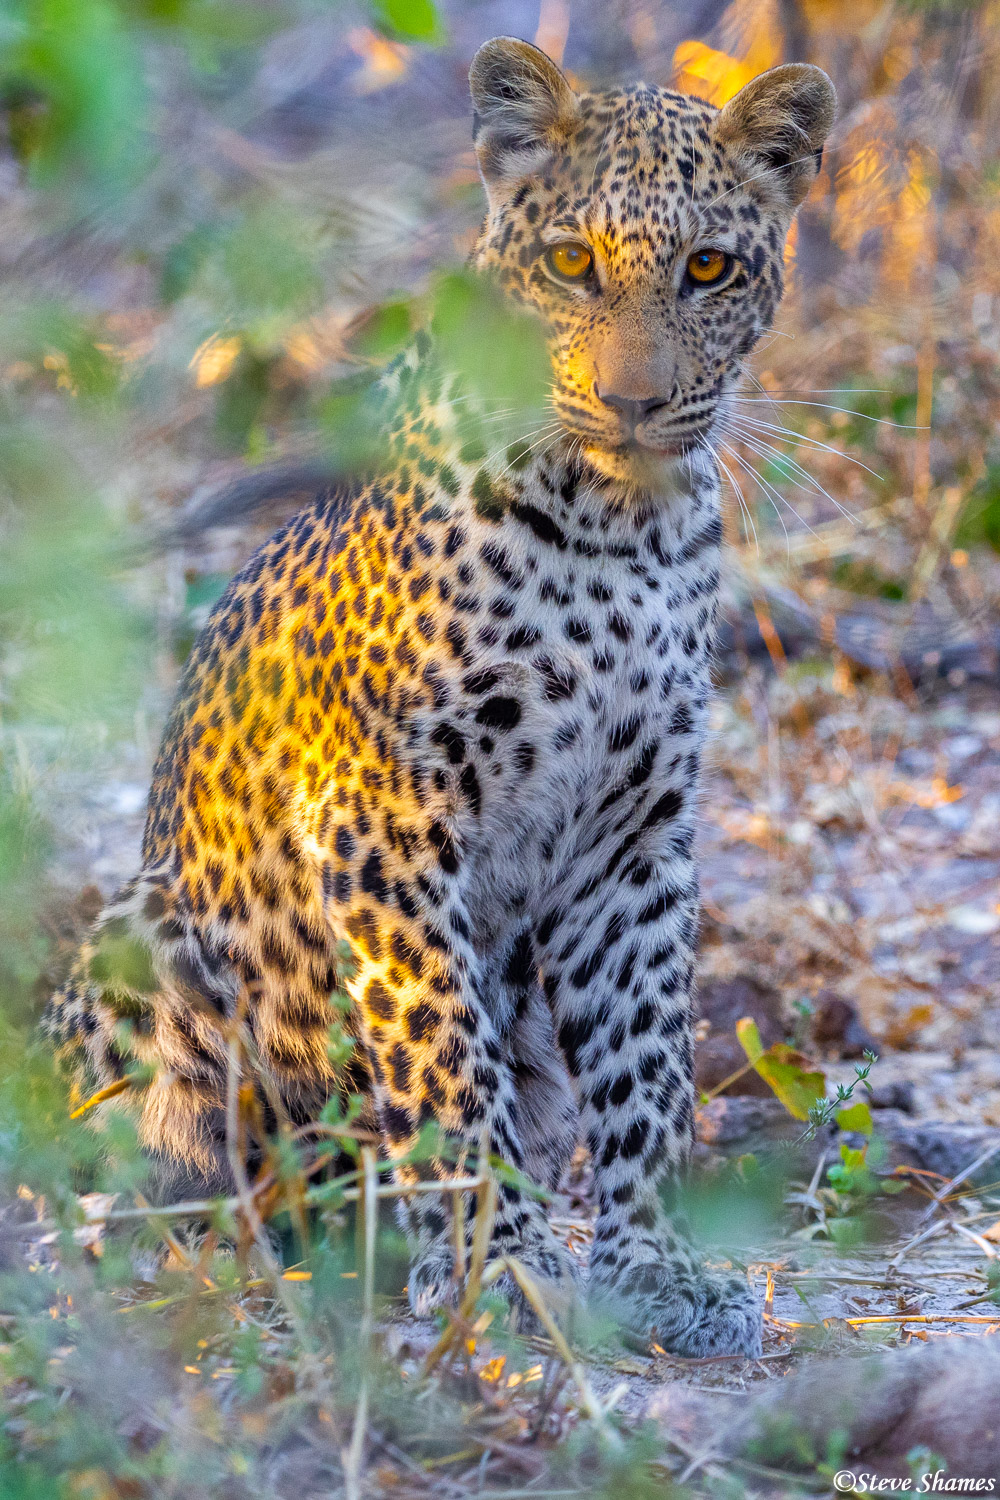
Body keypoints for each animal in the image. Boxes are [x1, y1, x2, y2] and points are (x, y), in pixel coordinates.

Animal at [44, 37, 835, 1358]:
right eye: (570, 262)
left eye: (708, 269)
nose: (632, 402)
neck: (617, 528)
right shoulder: (385, 819)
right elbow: (443, 1054)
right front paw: (500, 1266)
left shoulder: (634, 835)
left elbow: (650, 1065)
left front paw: (662, 1271)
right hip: (140, 930)